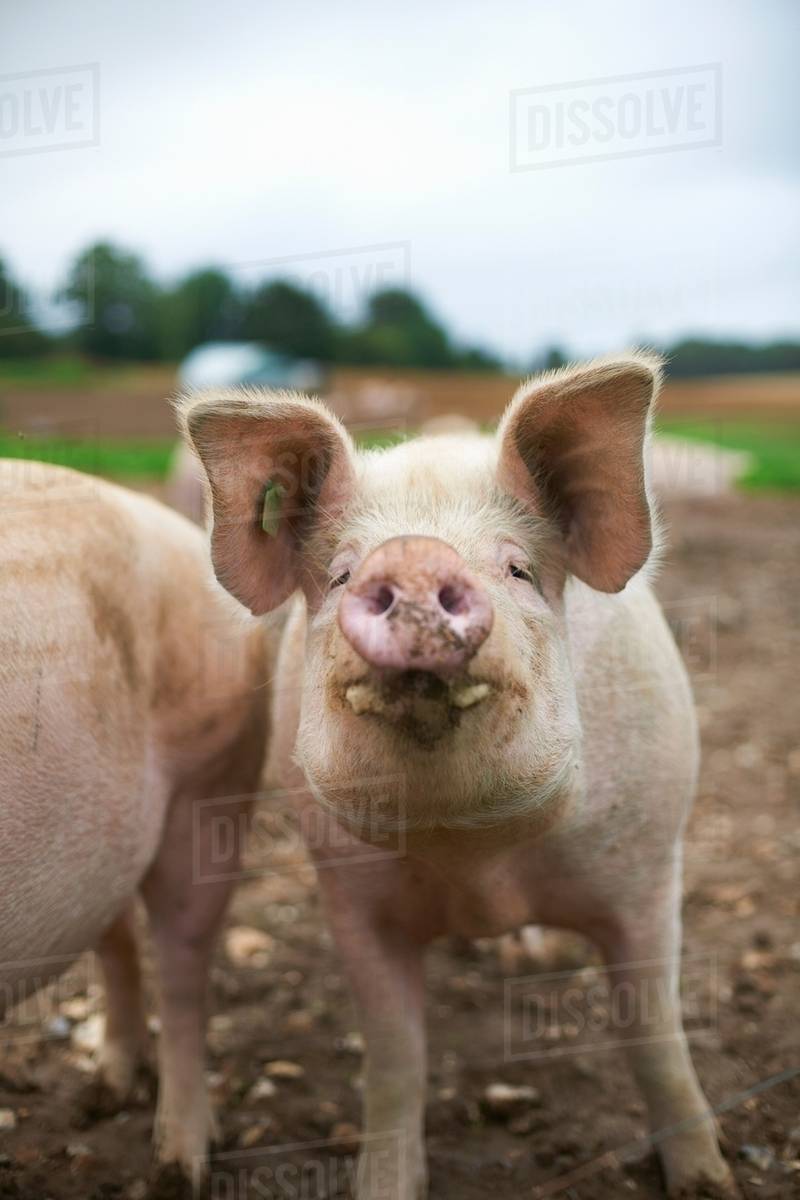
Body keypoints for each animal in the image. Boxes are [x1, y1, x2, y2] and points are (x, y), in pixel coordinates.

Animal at [181, 353, 735, 1199]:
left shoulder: (648, 867)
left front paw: (709, 1182)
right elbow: (395, 1058)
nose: (411, 557)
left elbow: (654, 1037)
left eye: (518, 568)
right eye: (340, 574)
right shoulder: (350, 897)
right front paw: (383, 1184)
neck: (476, 861)